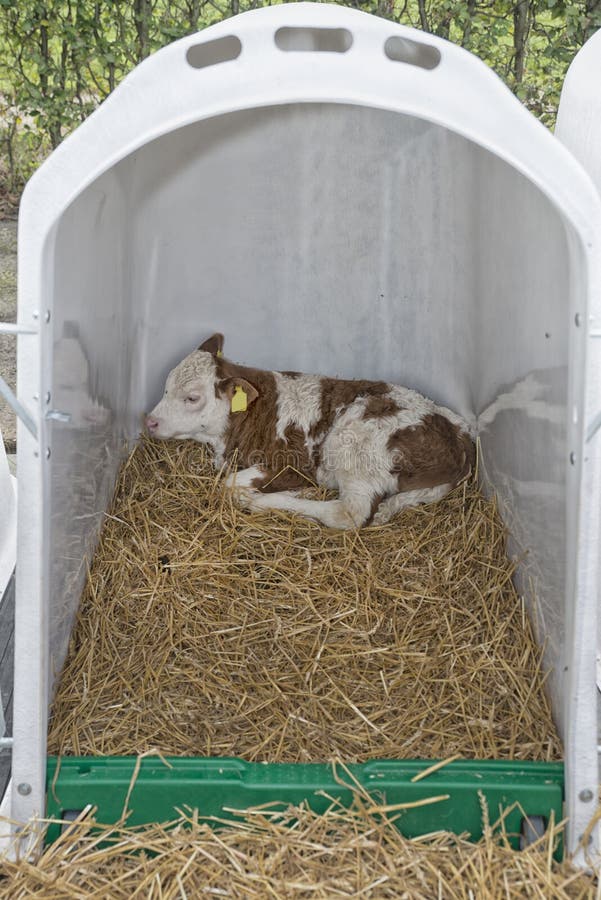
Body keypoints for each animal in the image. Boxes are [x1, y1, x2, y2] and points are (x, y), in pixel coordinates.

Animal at [146, 334, 475, 529]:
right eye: (166, 386)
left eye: (192, 398)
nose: (150, 421)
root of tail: (460, 437)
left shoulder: (290, 462)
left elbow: (229, 483)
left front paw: (275, 491)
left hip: (355, 445)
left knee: (349, 513)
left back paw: (267, 500)